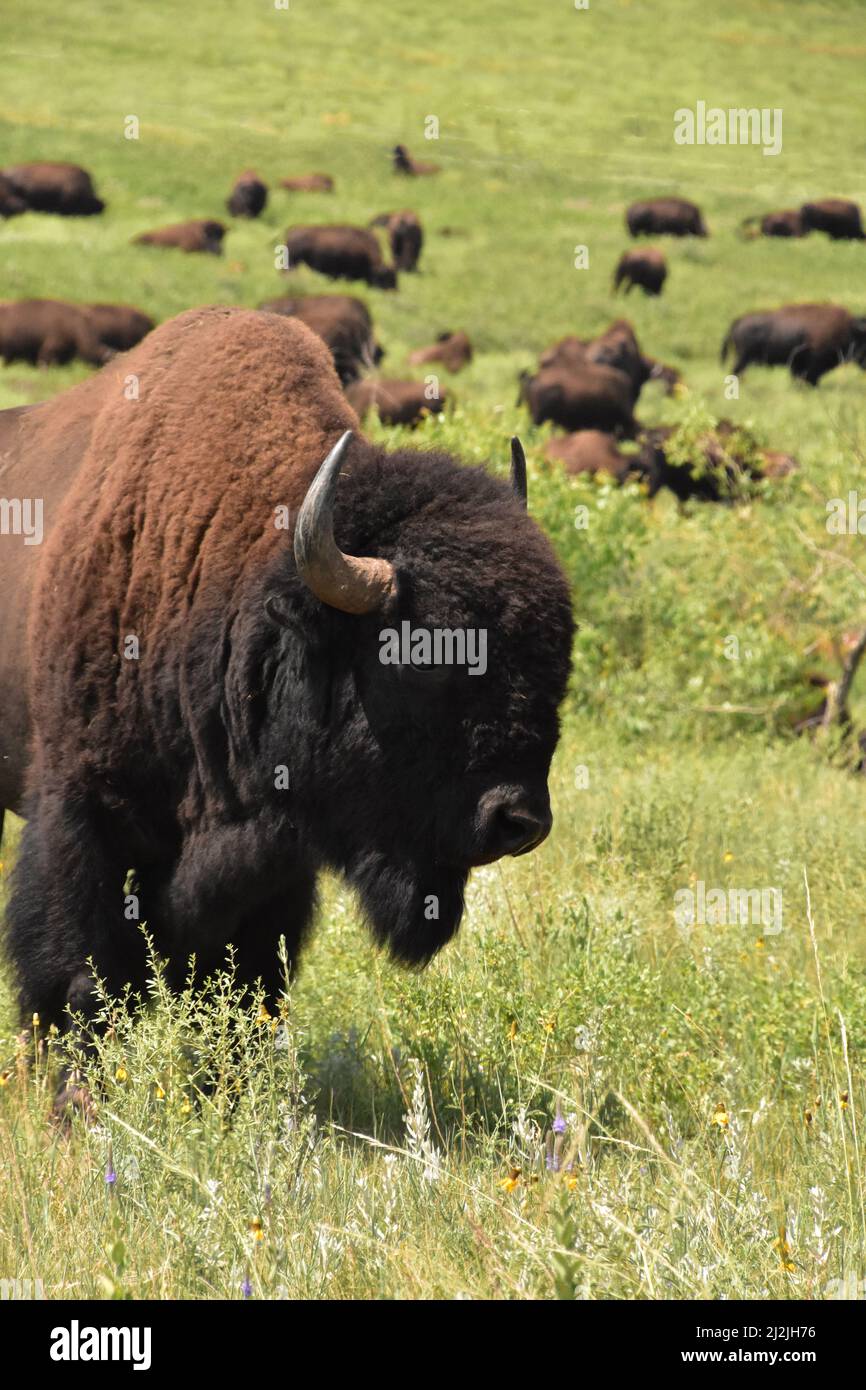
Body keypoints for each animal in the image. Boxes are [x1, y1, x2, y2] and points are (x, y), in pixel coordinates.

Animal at [0, 308, 573, 1114]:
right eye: (423, 663)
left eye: (558, 662)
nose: (519, 820)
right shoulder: (82, 814)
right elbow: (80, 981)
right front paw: (74, 1110)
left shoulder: (272, 864)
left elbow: (245, 992)